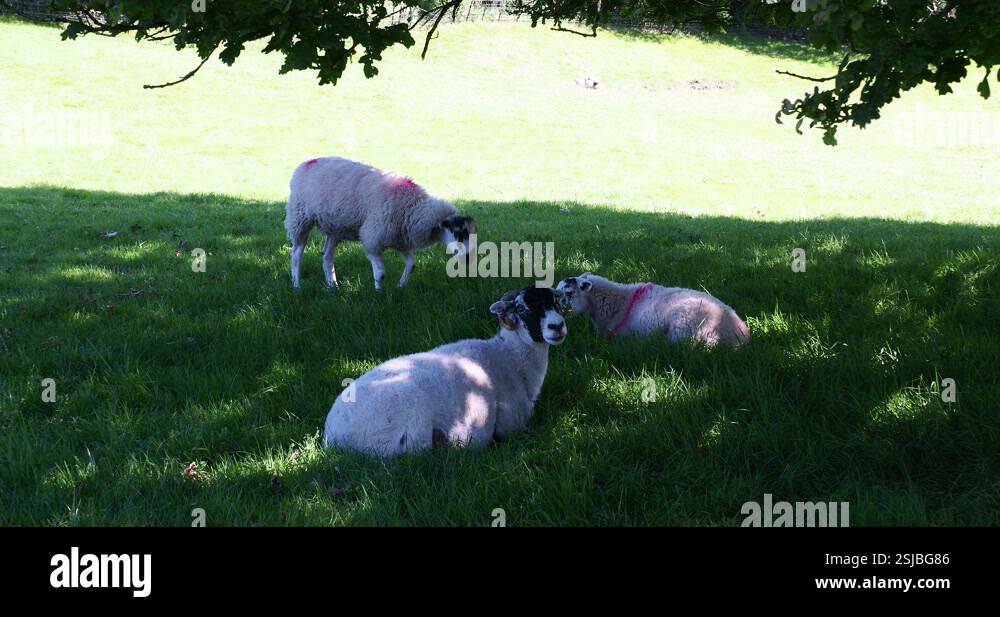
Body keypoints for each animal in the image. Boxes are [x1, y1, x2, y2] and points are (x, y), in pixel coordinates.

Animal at [284, 156, 476, 290]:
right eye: (459, 233)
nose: (469, 258)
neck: (414, 208)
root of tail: (306, 163)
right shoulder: (372, 238)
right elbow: (380, 273)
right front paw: (379, 294)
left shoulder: (399, 239)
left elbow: (411, 264)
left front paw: (400, 287)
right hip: (299, 218)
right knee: (296, 254)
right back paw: (296, 285)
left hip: (335, 227)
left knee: (327, 256)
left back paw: (333, 286)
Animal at [323, 286, 569, 458]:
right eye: (521, 308)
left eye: (556, 302)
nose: (557, 326)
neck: (509, 358)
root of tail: (334, 438)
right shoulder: (512, 424)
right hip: (412, 423)